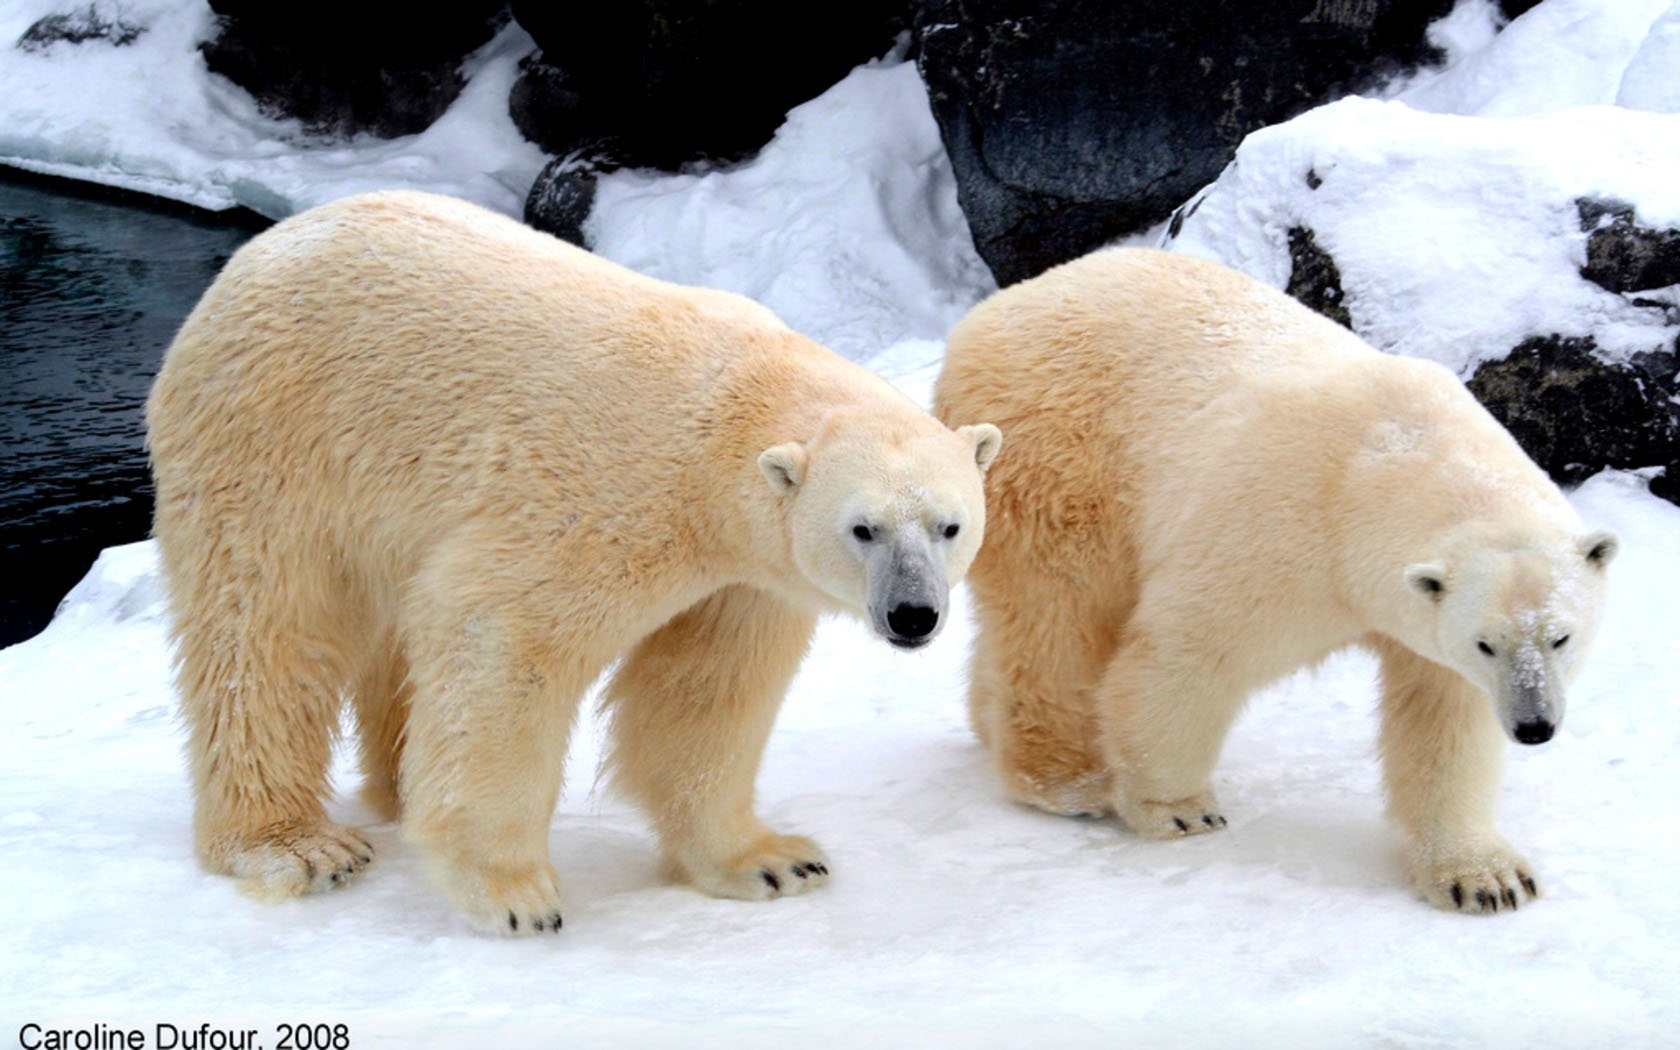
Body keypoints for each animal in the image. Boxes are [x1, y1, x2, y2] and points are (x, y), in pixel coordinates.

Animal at [146, 190, 1002, 935]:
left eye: (949, 526)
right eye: (863, 528)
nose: (913, 615)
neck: (724, 420)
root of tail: (251, 255)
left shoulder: (743, 575)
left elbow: (706, 689)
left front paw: (773, 861)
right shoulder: (600, 499)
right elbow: (503, 640)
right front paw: (512, 895)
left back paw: (394, 788)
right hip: (274, 438)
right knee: (263, 628)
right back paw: (296, 844)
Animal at [931, 247, 1617, 914]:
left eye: (1560, 638)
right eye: (1486, 642)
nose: (1535, 726)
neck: (1380, 467)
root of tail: (980, 319)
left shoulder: (1425, 621)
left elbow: (1445, 718)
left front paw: (1486, 878)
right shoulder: (1282, 531)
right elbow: (1187, 655)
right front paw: (1177, 809)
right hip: (1059, 458)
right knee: (1061, 615)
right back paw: (1070, 781)